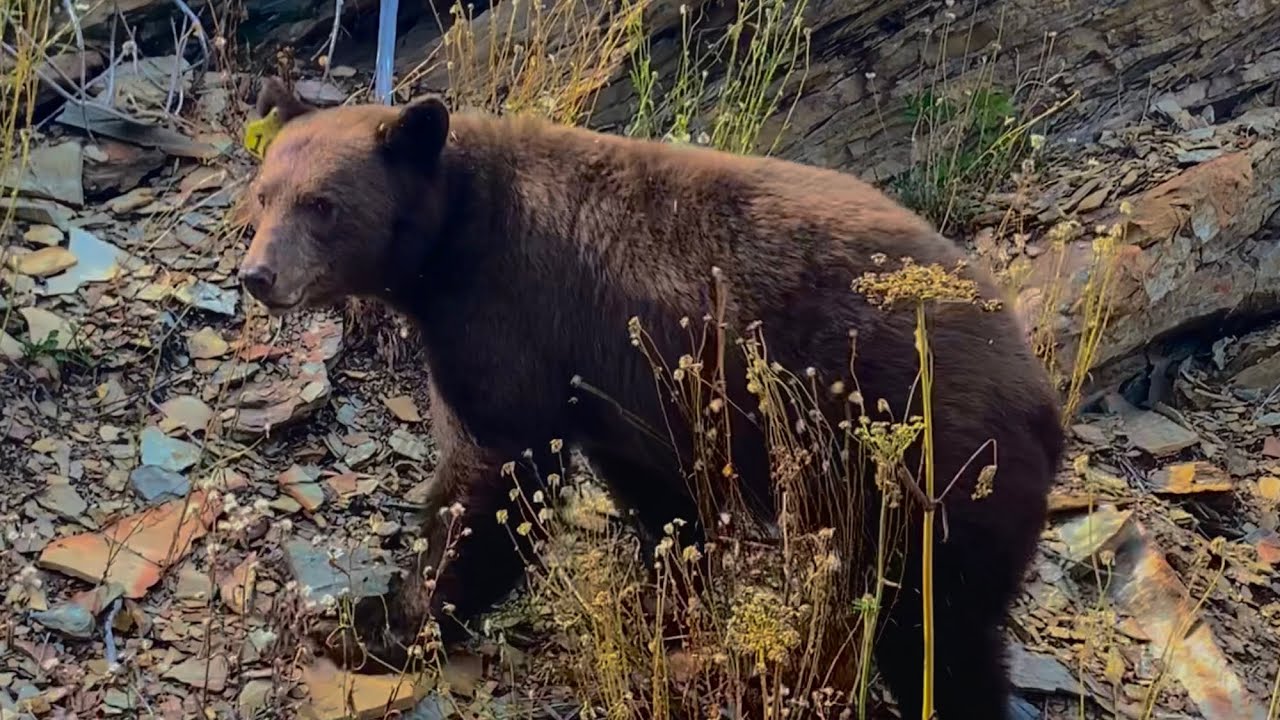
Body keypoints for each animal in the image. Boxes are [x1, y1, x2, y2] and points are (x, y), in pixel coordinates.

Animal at [237, 76, 1064, 720]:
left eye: (323, 205)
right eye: (263, 194)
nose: (257, 275)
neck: (454, 235)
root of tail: (1039, 394)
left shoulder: (507, 316)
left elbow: (495, 475)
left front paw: (374, 620)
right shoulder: (619, 391)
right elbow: (660, 496)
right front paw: (665, 602)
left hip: (933, 467)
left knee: (937, 627)